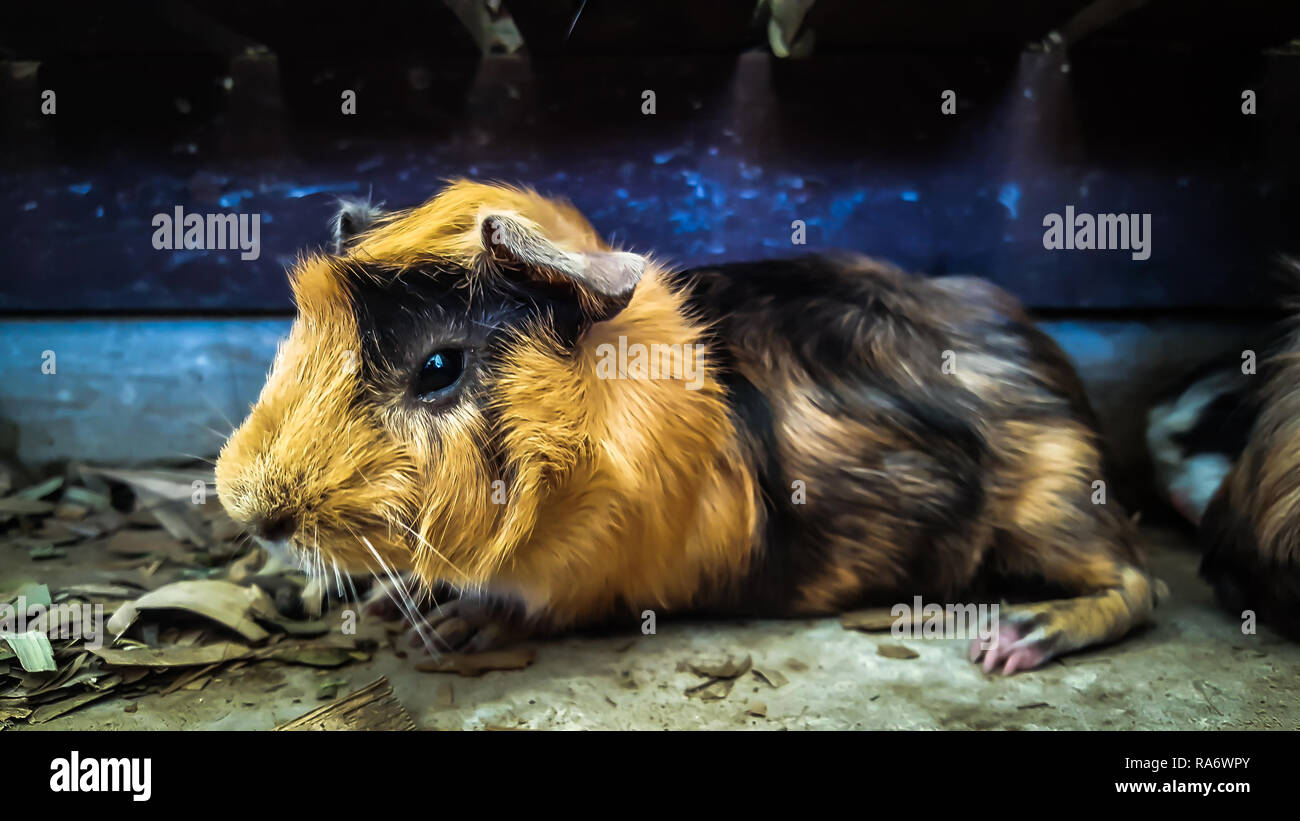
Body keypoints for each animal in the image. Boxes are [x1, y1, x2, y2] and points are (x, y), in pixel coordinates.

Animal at [214, 180, 1157, 674]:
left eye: (440, 367)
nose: (251, 510)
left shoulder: (593, 576)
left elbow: (529, 603)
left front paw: (446, 631)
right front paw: (391, 605)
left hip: (1053, 506)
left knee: (1139, 587)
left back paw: (1010, 643)